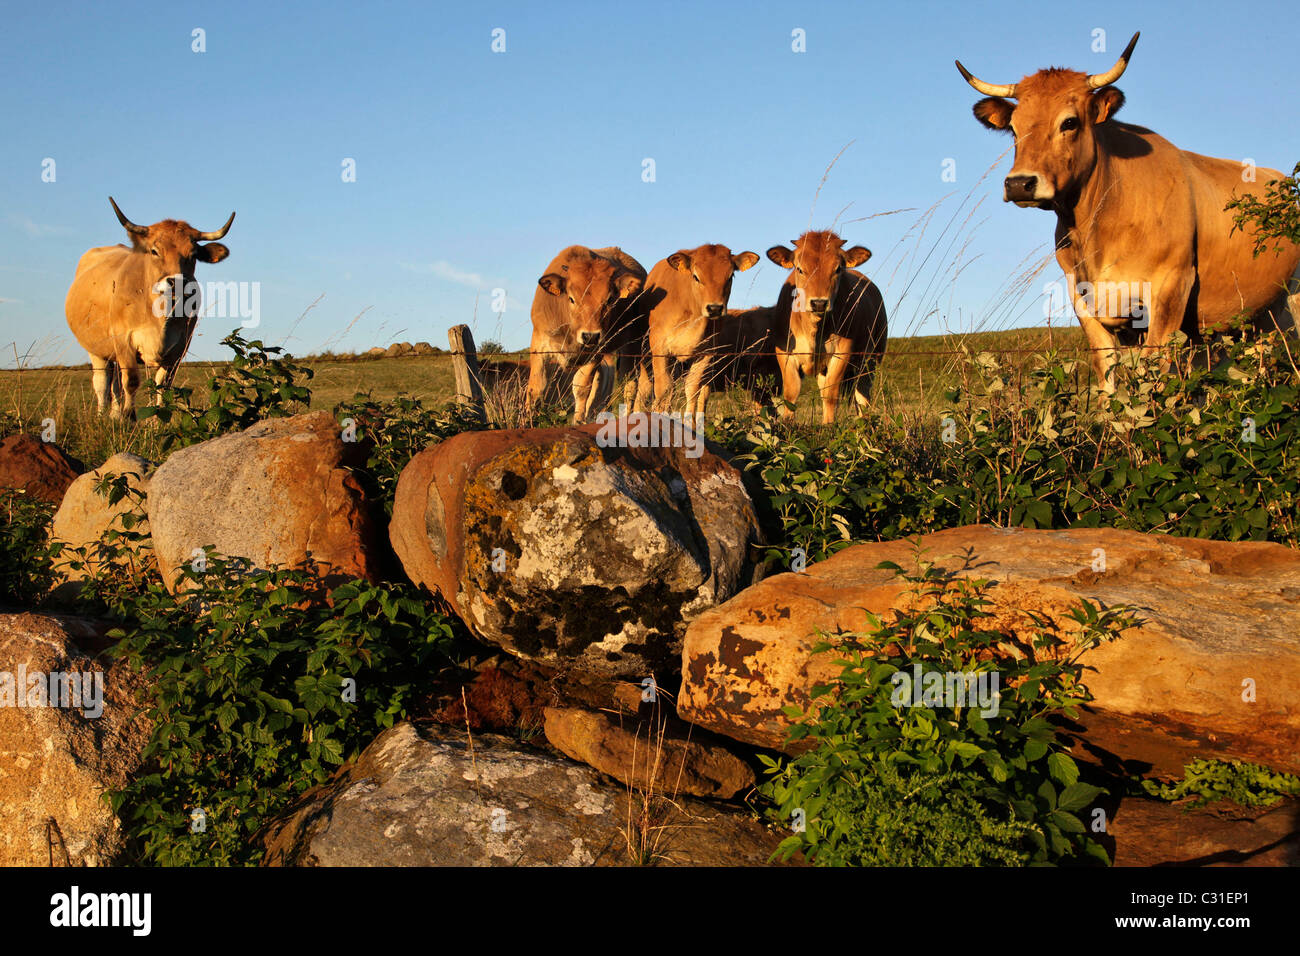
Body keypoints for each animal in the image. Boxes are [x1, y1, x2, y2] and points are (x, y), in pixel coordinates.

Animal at [65, 197, 235, 420]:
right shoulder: (124, 341)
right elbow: (131, 382)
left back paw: (114, 415)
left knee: (115, 384)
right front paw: (129, 419)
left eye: (193, 254)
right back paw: (103, 416)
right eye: (155, 251)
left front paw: (158, 421)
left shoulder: (178, 349)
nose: (176, 282)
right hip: (96, 349)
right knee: (102, 384)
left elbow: (163, 386)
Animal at [528, 245, 646, 424]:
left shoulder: (595, 352)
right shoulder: (539, 344)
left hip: (632, 349)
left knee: (630, 387)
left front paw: (577, 421)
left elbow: (581, 388)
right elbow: (536, 387)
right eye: (571, 298)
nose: (590, 336)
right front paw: (526, 419)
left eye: (609, 300)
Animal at [637, 244, 759, 420]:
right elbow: (663, 390)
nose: (714, 308)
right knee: (644, 389)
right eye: (696, 277)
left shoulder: (706, 353)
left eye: (730, 277)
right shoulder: (660, 349)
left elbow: (692, 390)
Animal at [765, 230, 889, 424]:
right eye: (799, 268)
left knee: (862, 395)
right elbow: (791, 393)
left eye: (837, 269)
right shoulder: (785, 353)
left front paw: (828, 425)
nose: (819, 303)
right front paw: (787, 424)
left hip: (871, 359)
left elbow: (831, 394)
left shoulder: (842, 352)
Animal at [957, 32, 1300, 385]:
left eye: (1070, 122)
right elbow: (1109, 373)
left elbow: (1154, 374)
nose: (1019, 183)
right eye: (1013, 128)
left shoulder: (1170, 288)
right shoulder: (1088, 301)